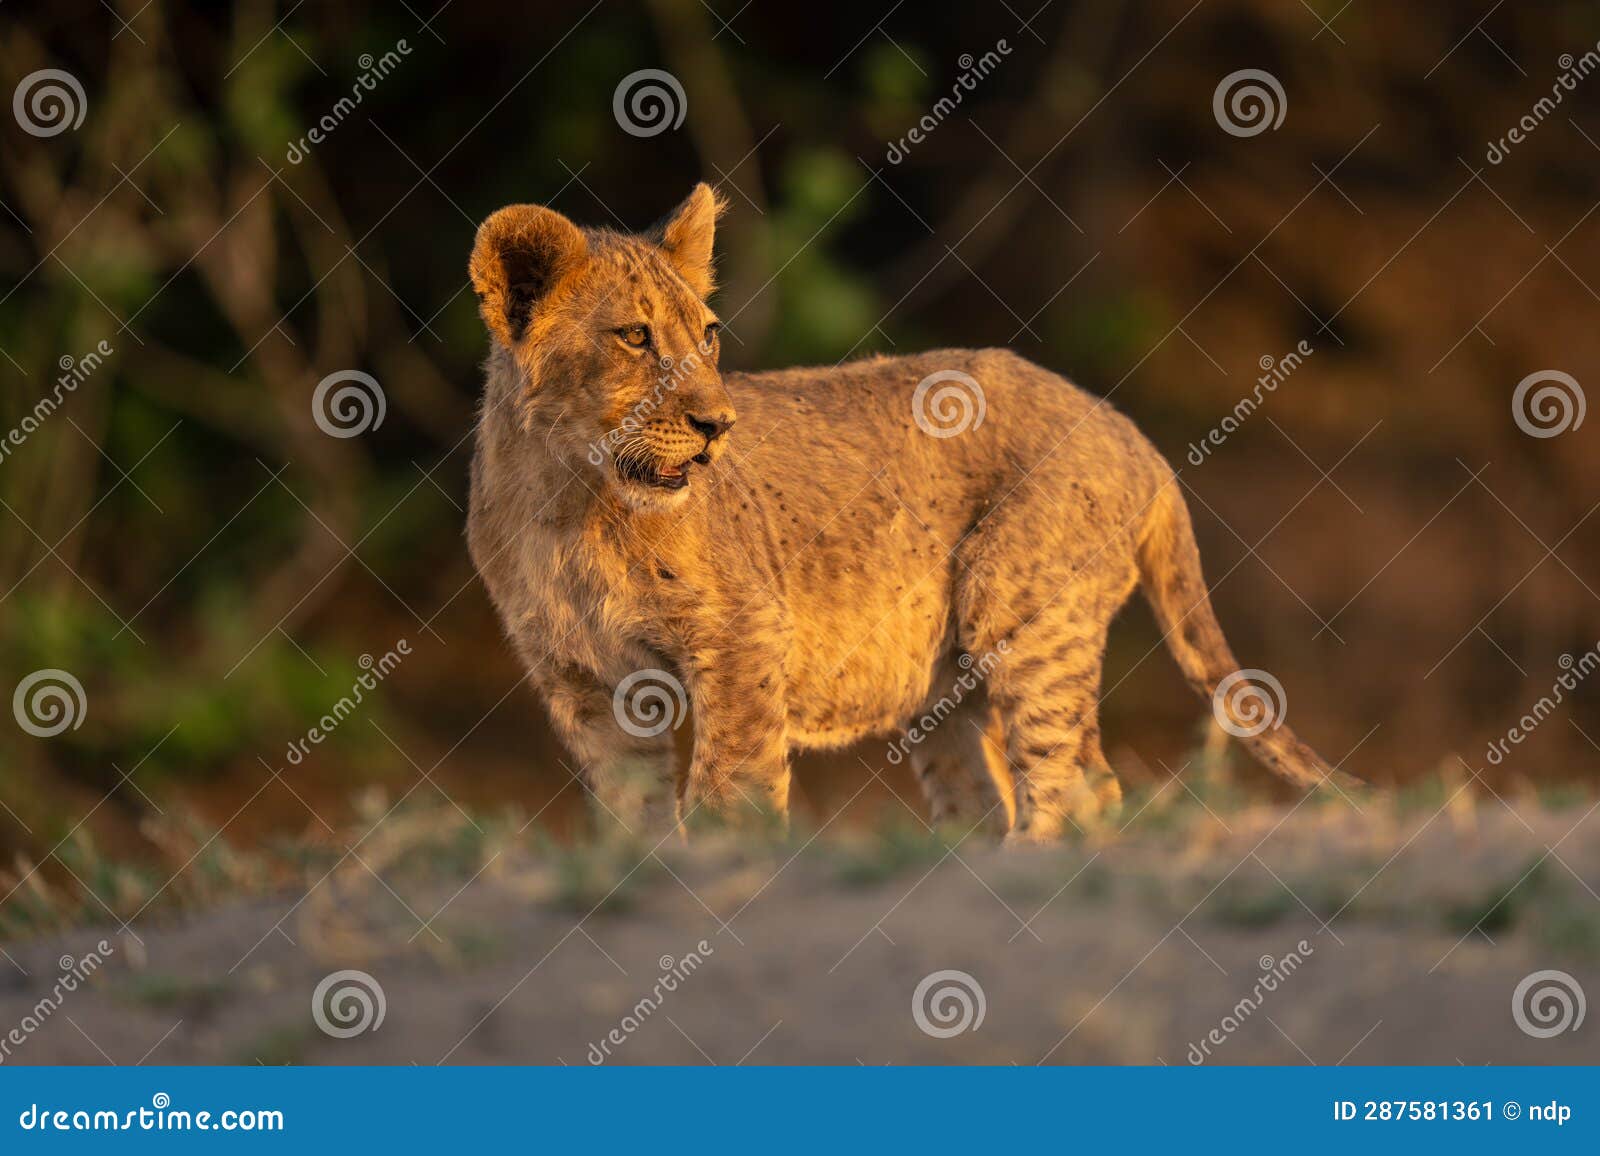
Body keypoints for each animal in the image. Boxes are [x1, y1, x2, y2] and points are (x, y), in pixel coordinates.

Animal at [465, 183, 1347, 841]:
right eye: (635, 337)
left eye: (707, 336)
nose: (720, 423)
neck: (569, 500)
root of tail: (1130, 431)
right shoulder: (581, 681)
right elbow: (633, 816)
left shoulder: (742, 636)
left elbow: (728, 792)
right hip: (953, 680)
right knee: (990, 797)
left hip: (1023, 611)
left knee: (1076, 785)